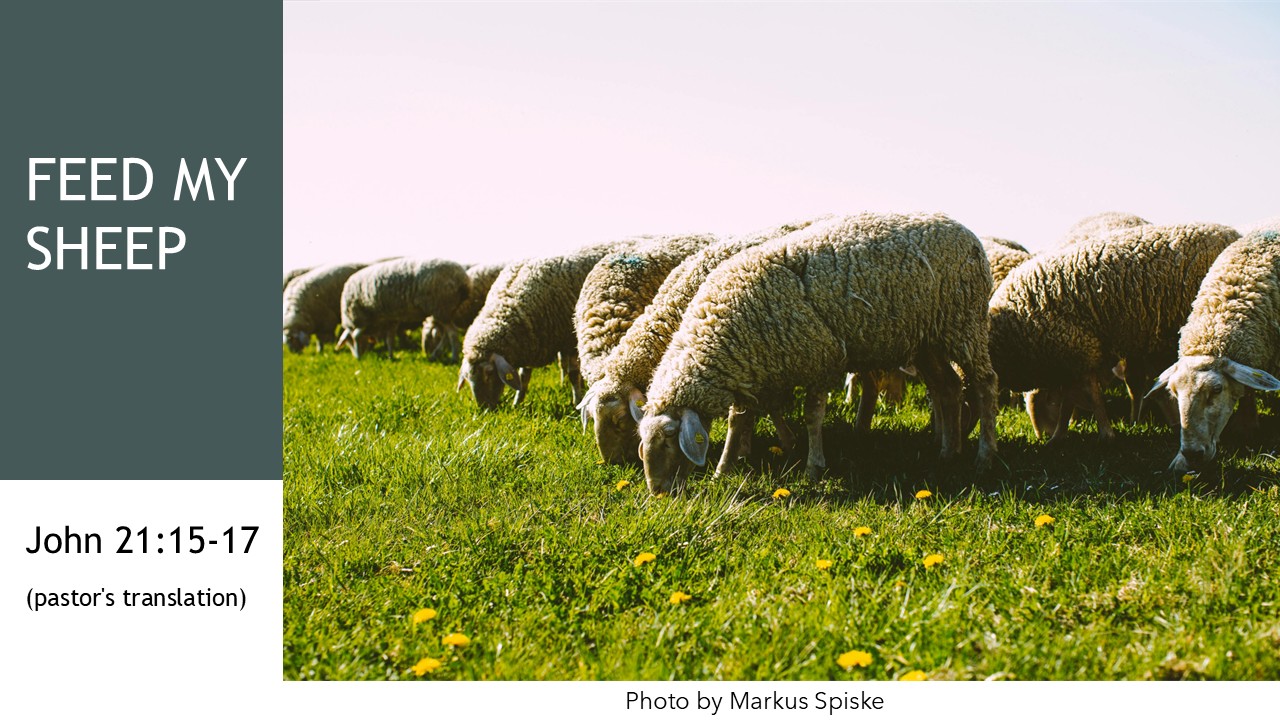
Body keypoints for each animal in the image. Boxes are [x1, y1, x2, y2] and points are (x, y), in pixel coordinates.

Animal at [335, 258, 471, 360]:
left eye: (349, 341)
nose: (357, 358)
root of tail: (462, 278)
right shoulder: (389, 319)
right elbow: (390, 339)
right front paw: (390, 357)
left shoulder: (363, 318)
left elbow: (357, 335)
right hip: (447, 310)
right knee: (447, 335)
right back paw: (435, 354)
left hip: (440, 306)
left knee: (452, 333)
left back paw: (453, 357)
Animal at [459, 240, 638, 410]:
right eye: (468, 378)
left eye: (489, 373)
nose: (485, 408)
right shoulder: (532, 341)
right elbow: (524, 376)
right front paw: (517, 402)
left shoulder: (568, 340)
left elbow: (573, 374)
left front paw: (576, 400)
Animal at [635, 212, 1000, 494]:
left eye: (669, 439)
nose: (658, 492)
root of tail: (966, 232)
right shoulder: (751, 369)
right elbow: (737, 422)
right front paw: (722, 469)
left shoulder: (820, 360)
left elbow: (812, 416)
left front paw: (813, 466)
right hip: (928, 339)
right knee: (948, 388)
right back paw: (948, 452)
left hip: (964, 324)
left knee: (985, 384)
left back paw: (984, 456)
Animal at [989, 222, 1240, 443]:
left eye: (1044, 404)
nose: (1041, 436)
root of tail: (1232, 233)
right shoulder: (1074, 357)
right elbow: (1075, 398)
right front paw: (1061, 435)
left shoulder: (1077, 349)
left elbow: (1091, 396)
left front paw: (1104, 433)